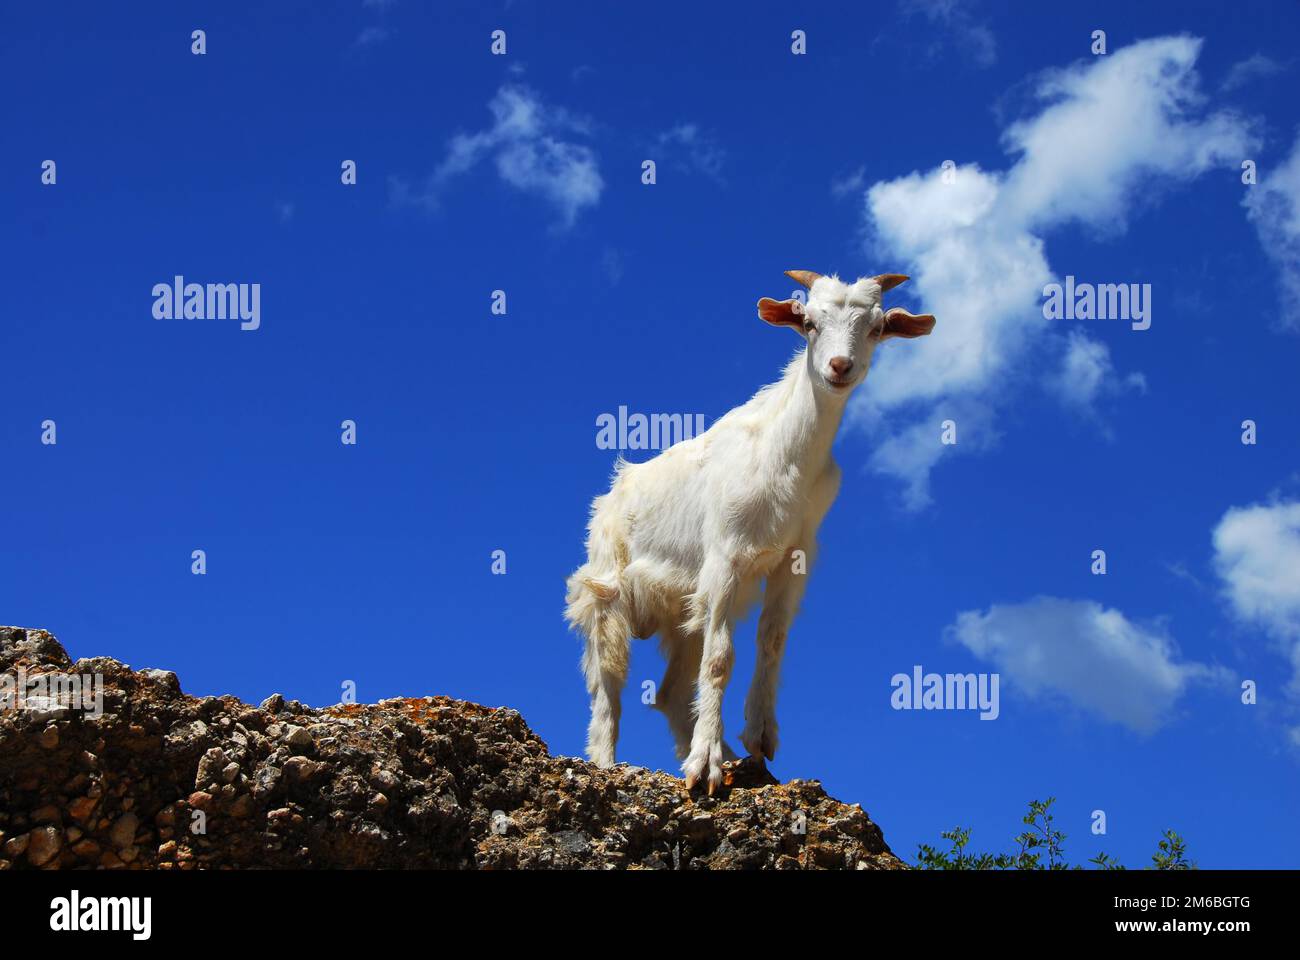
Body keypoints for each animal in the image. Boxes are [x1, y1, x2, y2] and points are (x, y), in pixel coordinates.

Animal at [565, 270, 936, 792]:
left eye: (877, 327)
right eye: (809, 323)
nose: (839, 367)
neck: (785, 461)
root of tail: (609, 501)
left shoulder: (794, 558)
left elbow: (771, 642)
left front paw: (758, 739)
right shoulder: (725, 557)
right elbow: (721, 658)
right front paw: (704, 767)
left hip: (683, 607)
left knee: (671, 689)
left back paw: (721, 748)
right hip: (605, 594)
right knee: (608, 688)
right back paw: (606, 764)